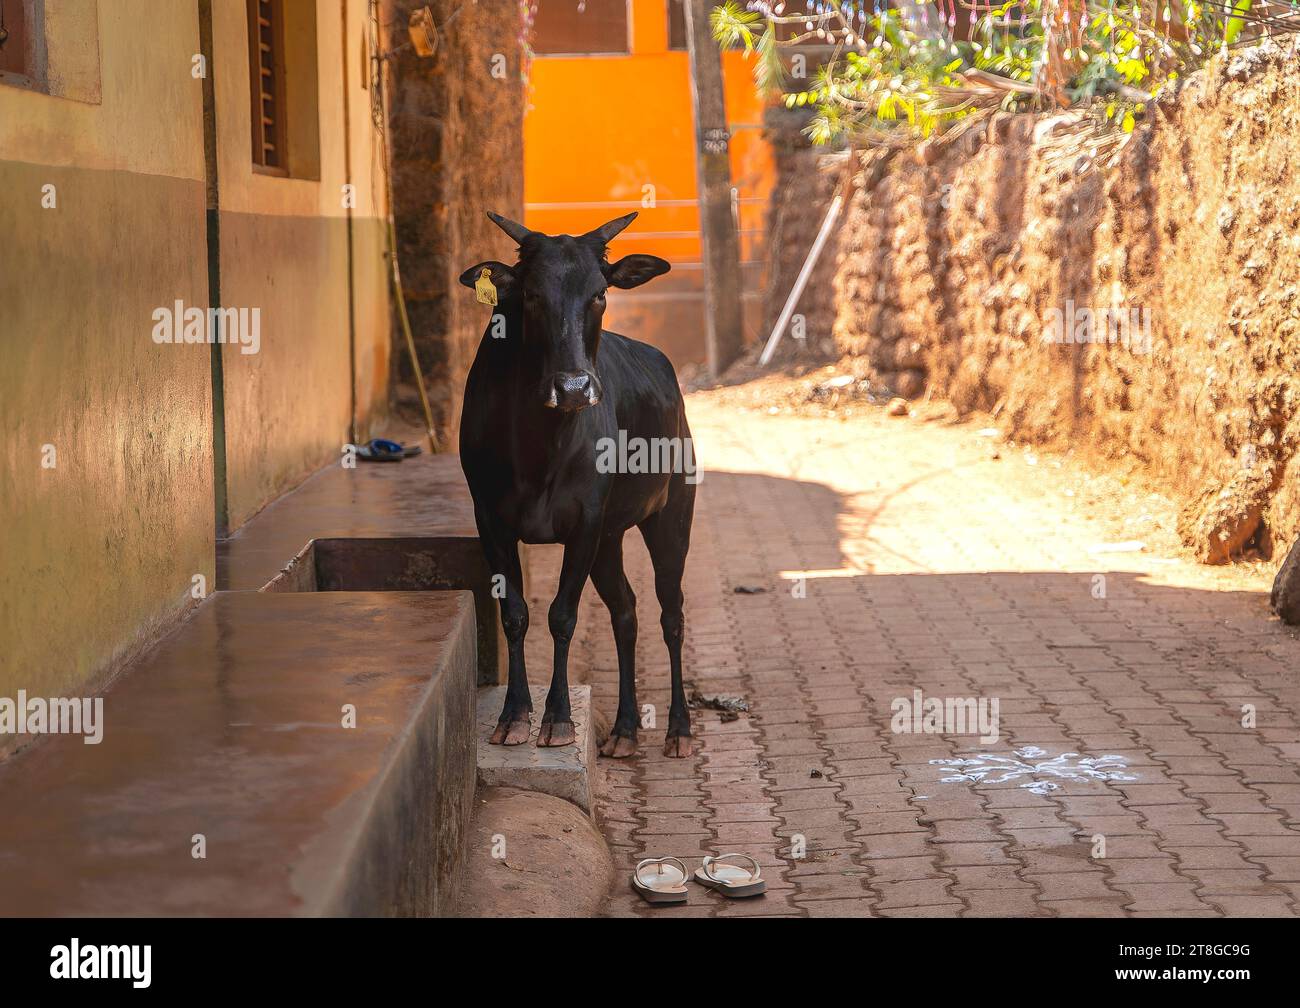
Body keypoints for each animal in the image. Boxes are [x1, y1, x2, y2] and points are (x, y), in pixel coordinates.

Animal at [458, 211, 697, 758]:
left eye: (600, 293)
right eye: (530, 294)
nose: (572, 388)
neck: (537, 446)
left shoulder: (584, 523)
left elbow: (561, 616)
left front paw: (558, 719)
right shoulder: (491, 521)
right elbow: (515, 614)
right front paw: (514, 717)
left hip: (671, 516)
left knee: (670, 613)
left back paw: (678, 728)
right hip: (611, 537)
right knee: (626, 611)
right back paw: (625, 729)